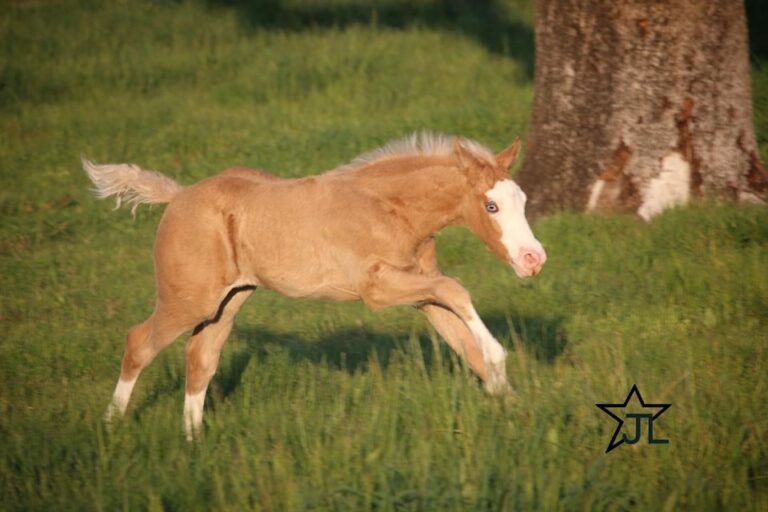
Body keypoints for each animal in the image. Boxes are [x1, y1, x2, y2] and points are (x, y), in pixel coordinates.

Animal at [83, 132, 546, 439]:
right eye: (491, 206)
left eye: (523, 200)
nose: (533, 260)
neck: (390, 208)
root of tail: (178, 197)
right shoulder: (377, 288)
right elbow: (457, 291)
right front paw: (501, 361)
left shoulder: (420, 293)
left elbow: (464, 341)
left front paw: (514, 409)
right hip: (188, 301)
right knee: (139, 343)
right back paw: (110, 427)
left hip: (227, 302)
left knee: (201, 359)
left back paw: (193, 441)